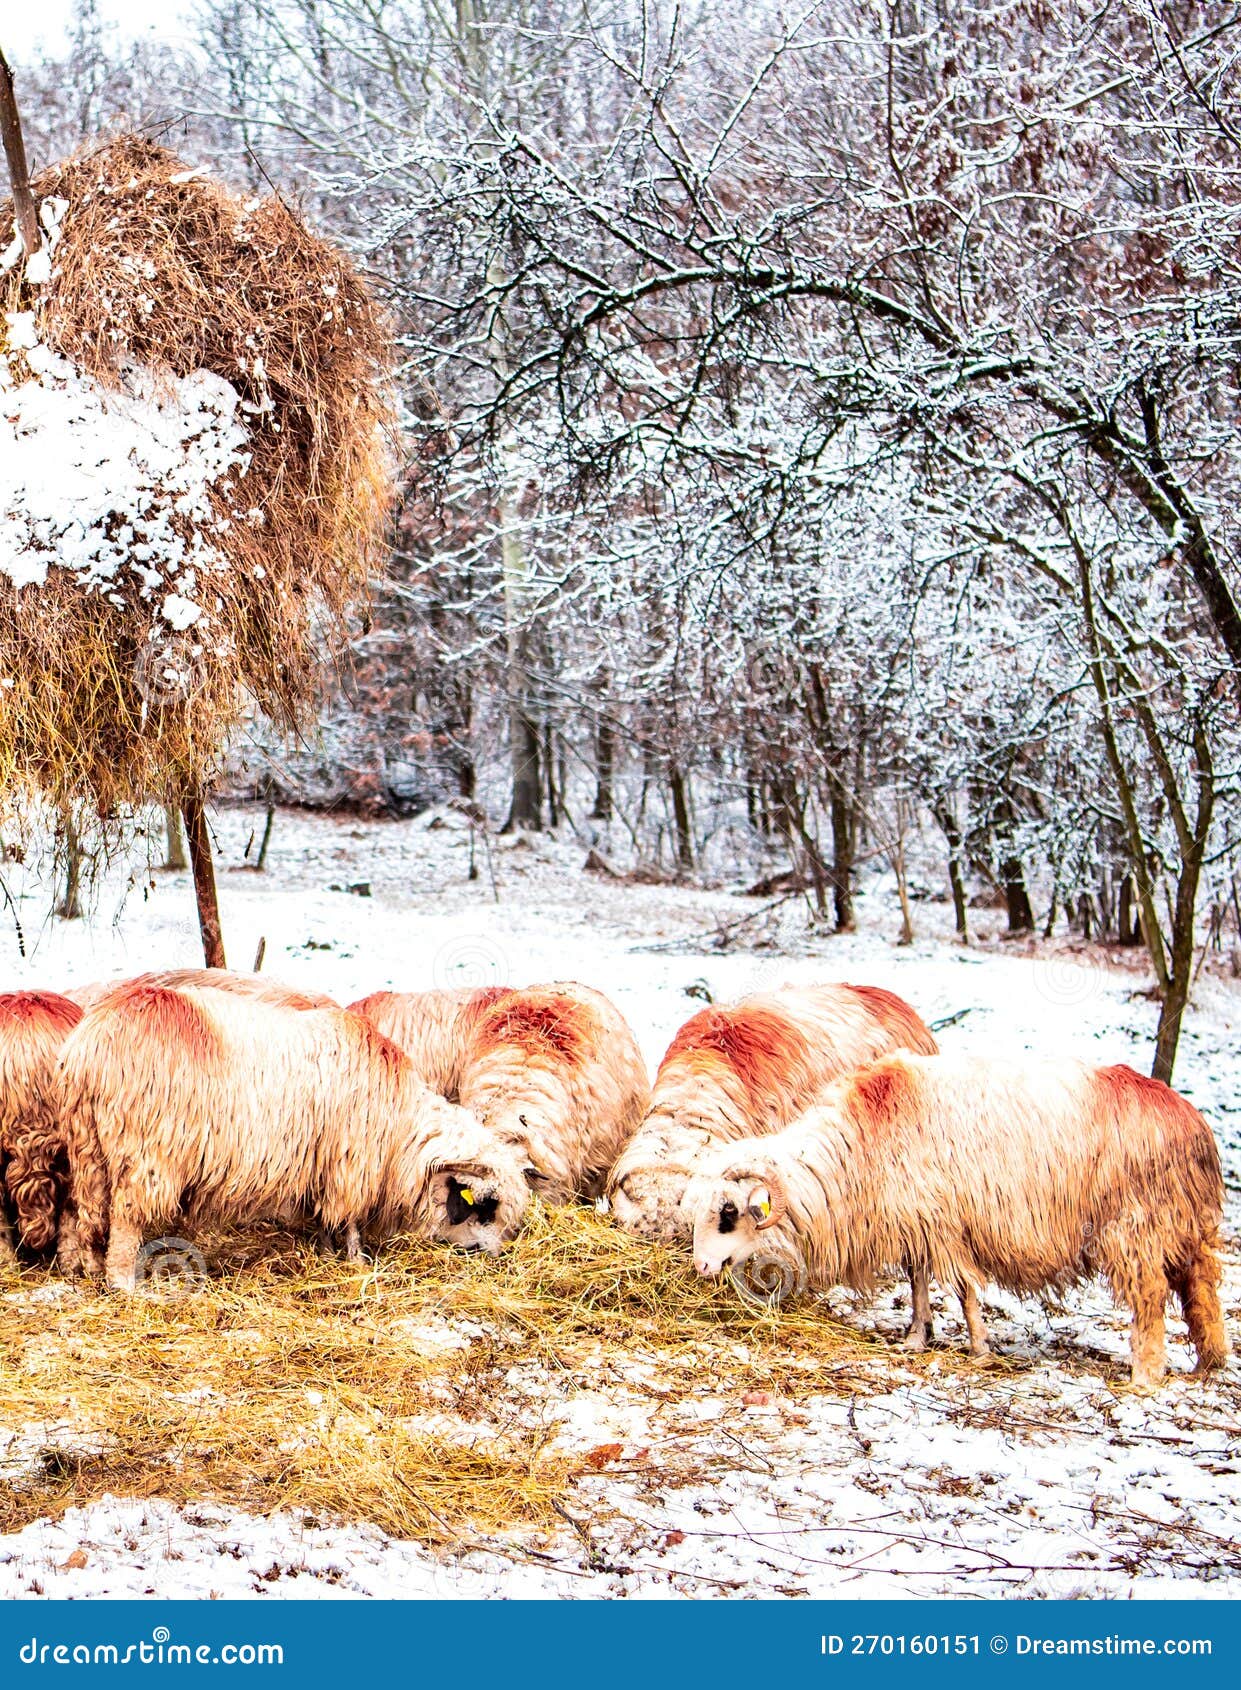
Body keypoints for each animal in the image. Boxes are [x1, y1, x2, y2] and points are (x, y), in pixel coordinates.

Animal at [62, 981, 537, 1292]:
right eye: (485, 1207)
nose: (490, 1257)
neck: (401, 1127)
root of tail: (91, 1043)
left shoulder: (322, 1167)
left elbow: (324, 1216)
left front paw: (326, 1251)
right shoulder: (349, 1163)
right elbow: (349, 1220)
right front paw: (356, 1260)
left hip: (88, 1148)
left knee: (86, 1211)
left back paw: (89, 1267)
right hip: (144, 1153)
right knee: (126, 1219)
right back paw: (123, 1283)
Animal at [681, 1051, 1228, 1389]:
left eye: (727, 1213)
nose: (701, 1269)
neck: (857, 1144)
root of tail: (1193, 1122)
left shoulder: (943, 1221)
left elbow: (963, 1289)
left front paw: (980, 1348)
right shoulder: (915, 1220)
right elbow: (918, 1281)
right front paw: (915, 1337)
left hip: (1136, 1224)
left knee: (1150, 1296)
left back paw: (1144, 1375)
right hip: (1186, 1225)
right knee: (1201, 1290)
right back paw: (1209, 1363)